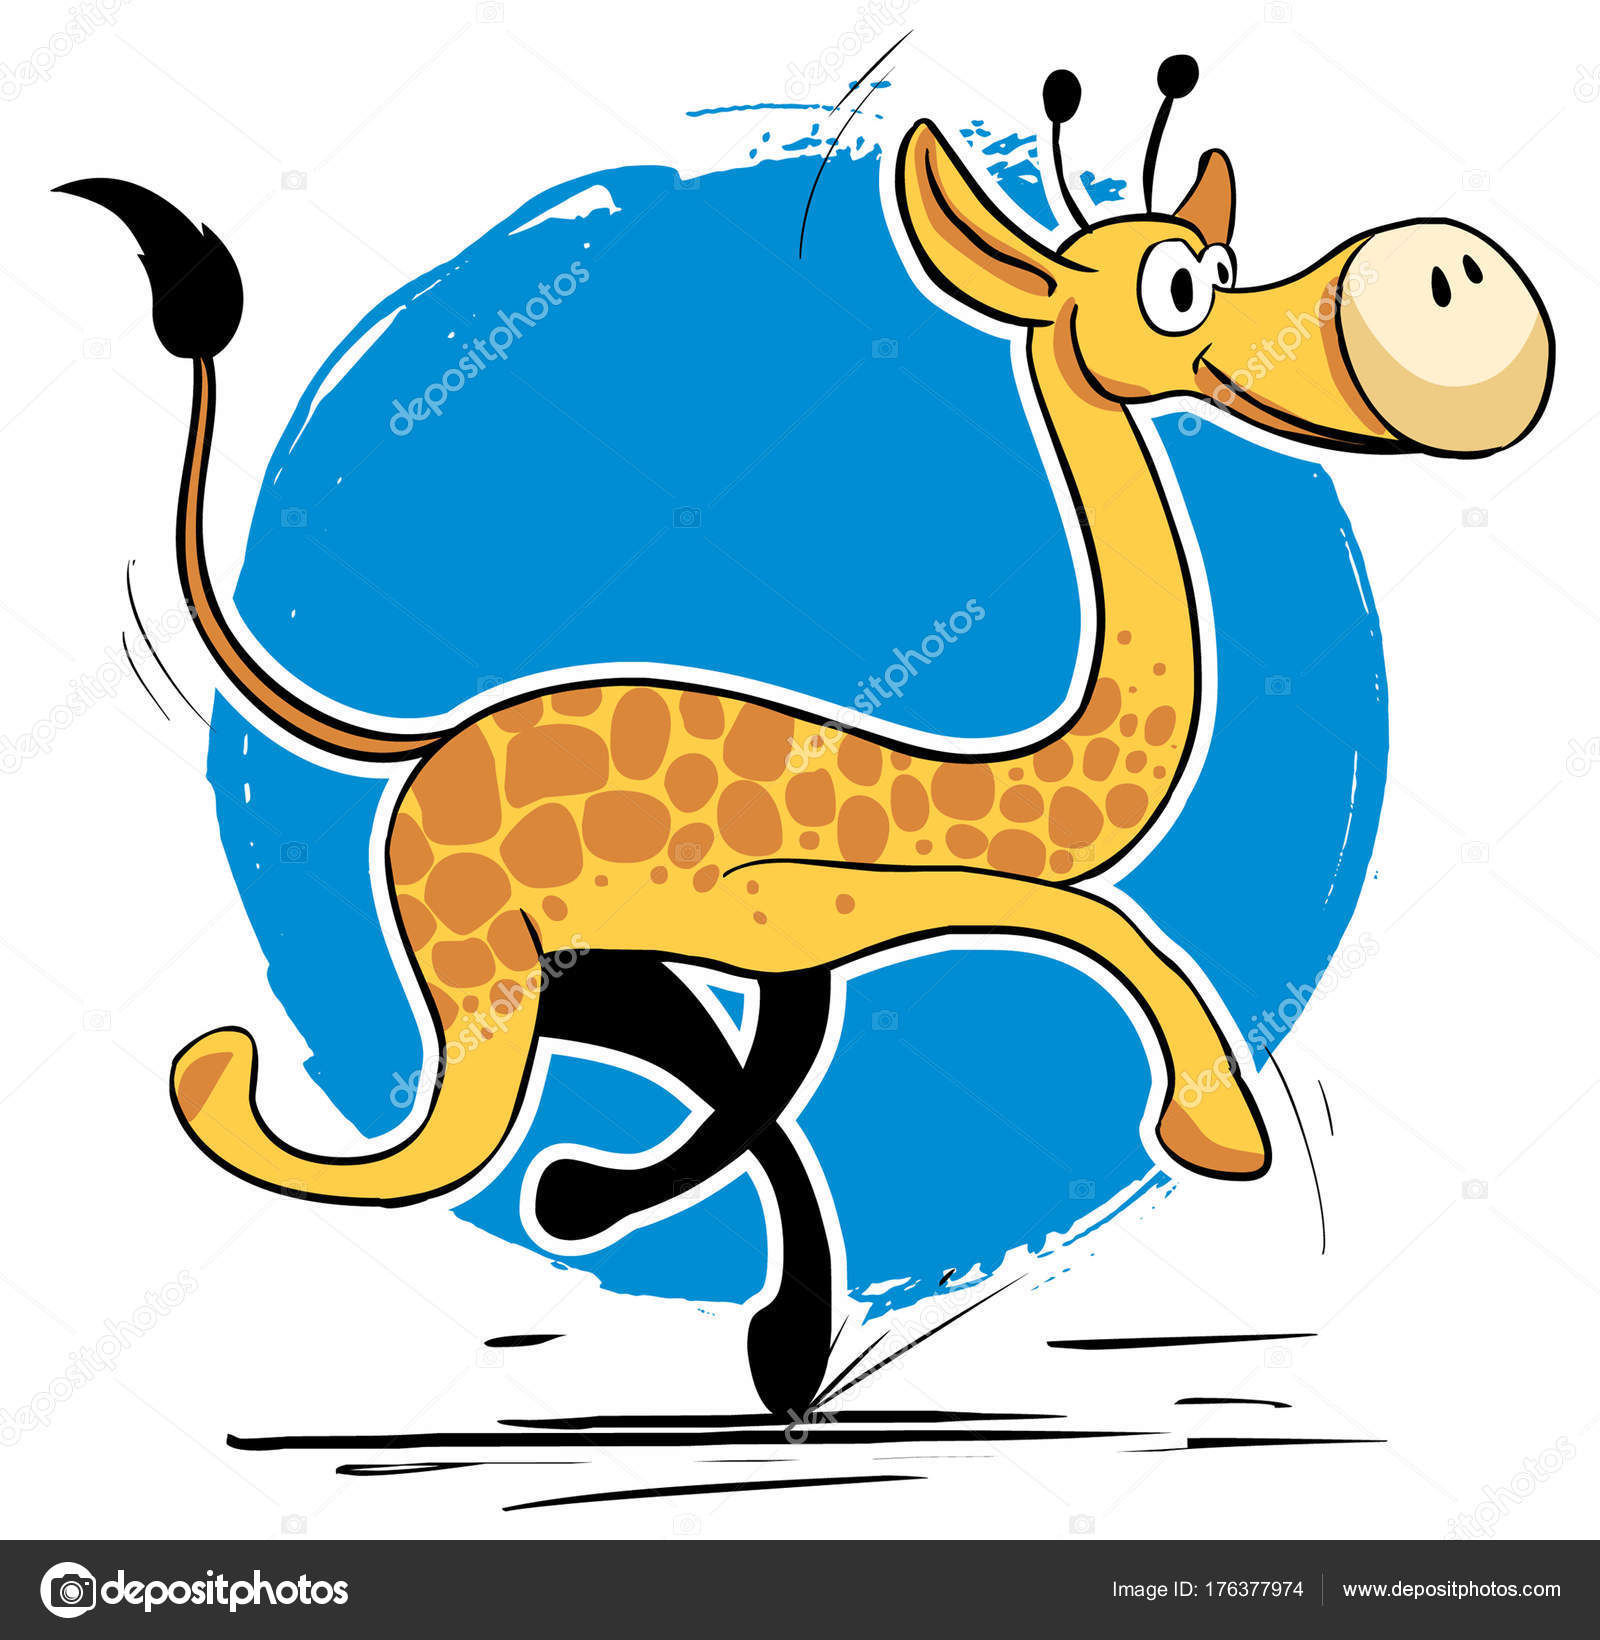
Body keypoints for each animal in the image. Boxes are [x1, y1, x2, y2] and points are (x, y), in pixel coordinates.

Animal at [64, 56, 1552, 1415]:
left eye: (1225, 258)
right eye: (1176, 289)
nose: (1448, 278)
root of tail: (420, 739)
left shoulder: (788, 956)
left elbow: (783, 1075)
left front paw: (669, 1258)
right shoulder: (792, 905)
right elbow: (1075, 921)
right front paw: (1219, 1127)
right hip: (476, 959)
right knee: (413, 1141)